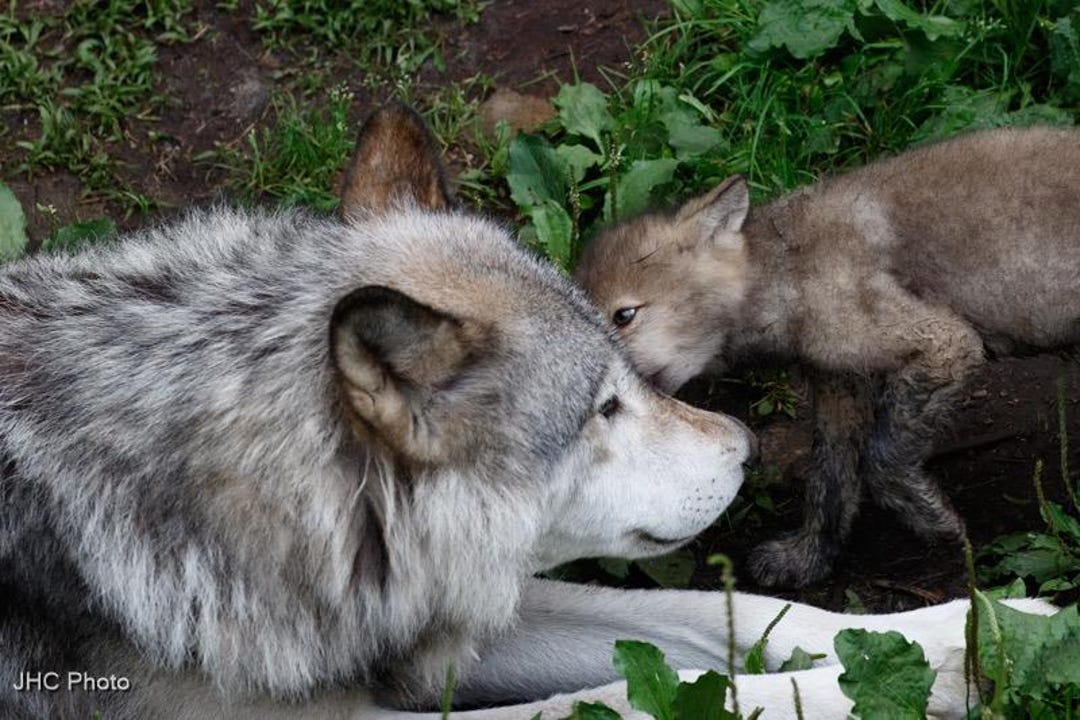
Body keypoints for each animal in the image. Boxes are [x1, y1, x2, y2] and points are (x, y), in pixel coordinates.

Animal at [576, 126, 1080, 588]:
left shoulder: (944, 343)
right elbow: (830, 483)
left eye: (624, 316)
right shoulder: (839, 382)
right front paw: (809, 560)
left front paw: (938, 522)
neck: (784, 274)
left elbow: (882, 462)